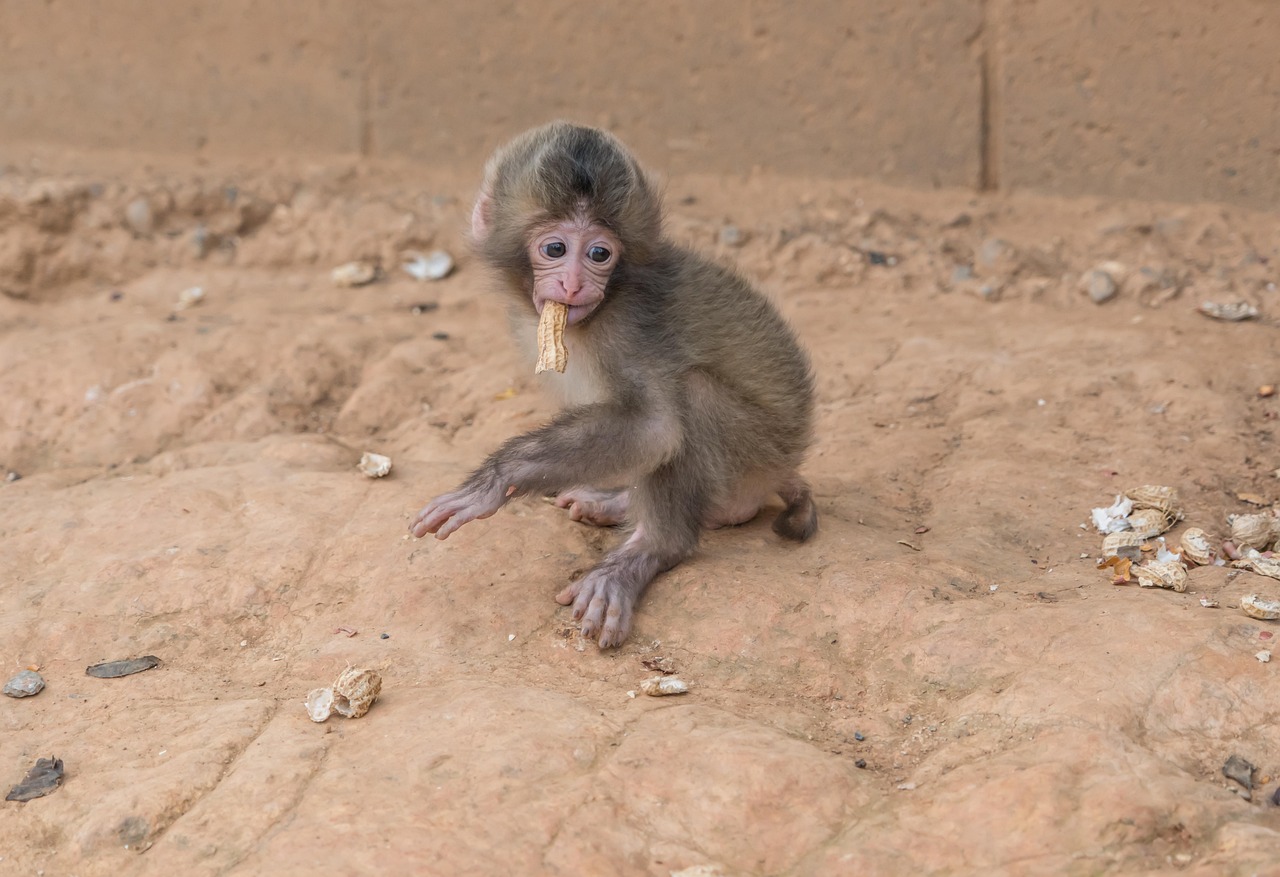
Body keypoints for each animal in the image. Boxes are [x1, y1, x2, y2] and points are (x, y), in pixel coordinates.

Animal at [410, 121, 817, 648]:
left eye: (600, 254)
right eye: (555, 249)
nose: (574, 284)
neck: (603, 306)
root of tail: (786, 465)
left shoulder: (628, 327)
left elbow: (656, 426)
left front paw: (495, 479)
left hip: (758, 457)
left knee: (693, 396)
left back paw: (647, 550)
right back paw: (618, 502)